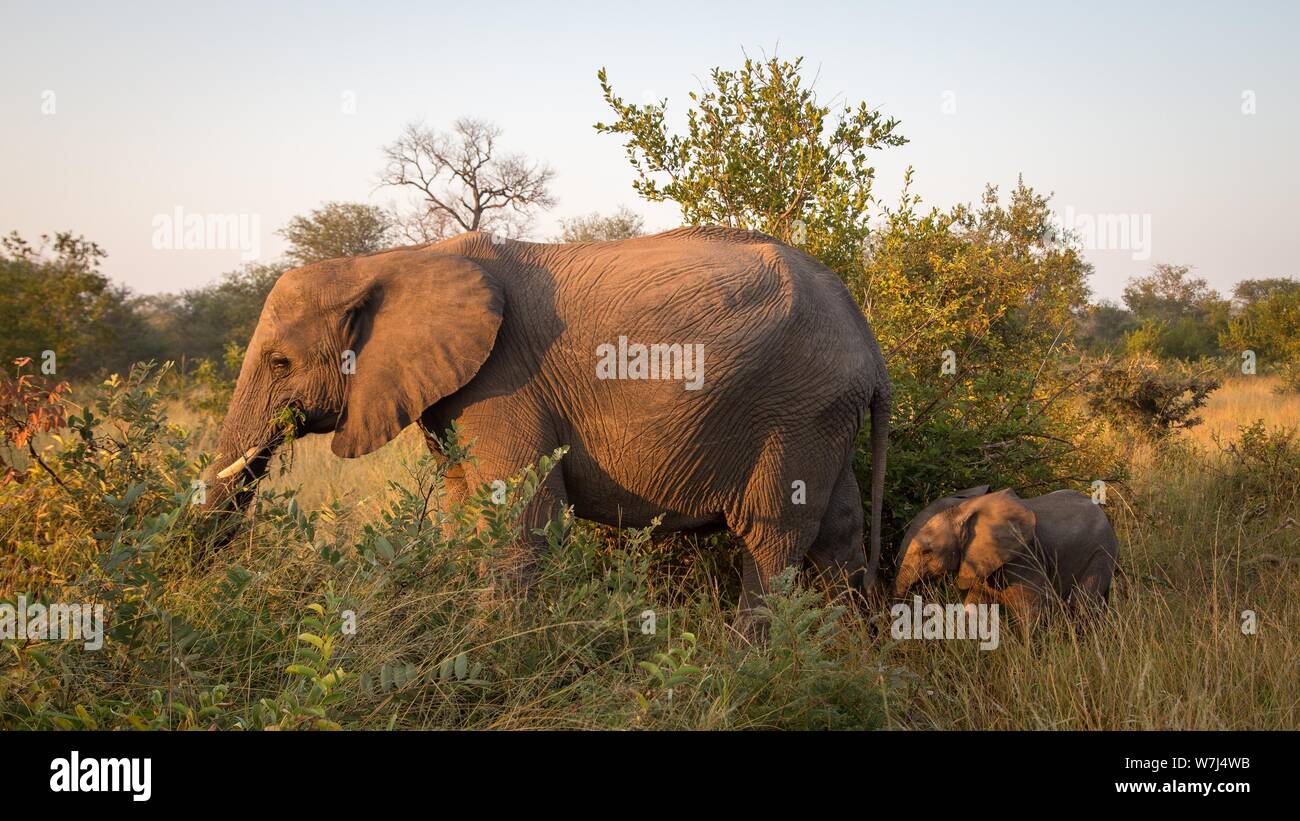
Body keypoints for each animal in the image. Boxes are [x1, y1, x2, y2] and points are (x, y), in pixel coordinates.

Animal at [202, 226, 892, 625]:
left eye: (280, 362)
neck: (392, 262)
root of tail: (871, 344)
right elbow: (464, 509)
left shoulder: (503, 381)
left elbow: (518, 516)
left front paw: (495, 651)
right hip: (824, 416)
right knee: (839, 533)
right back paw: (844, 661)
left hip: (796, 410)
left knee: (772, 536)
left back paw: (747, 665)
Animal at [892, 487, 1119, 622]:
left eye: (927, 551)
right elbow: (973, 609)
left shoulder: (1024, 559)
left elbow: (1032, 612)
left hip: (1100, 553)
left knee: (1082, 606)